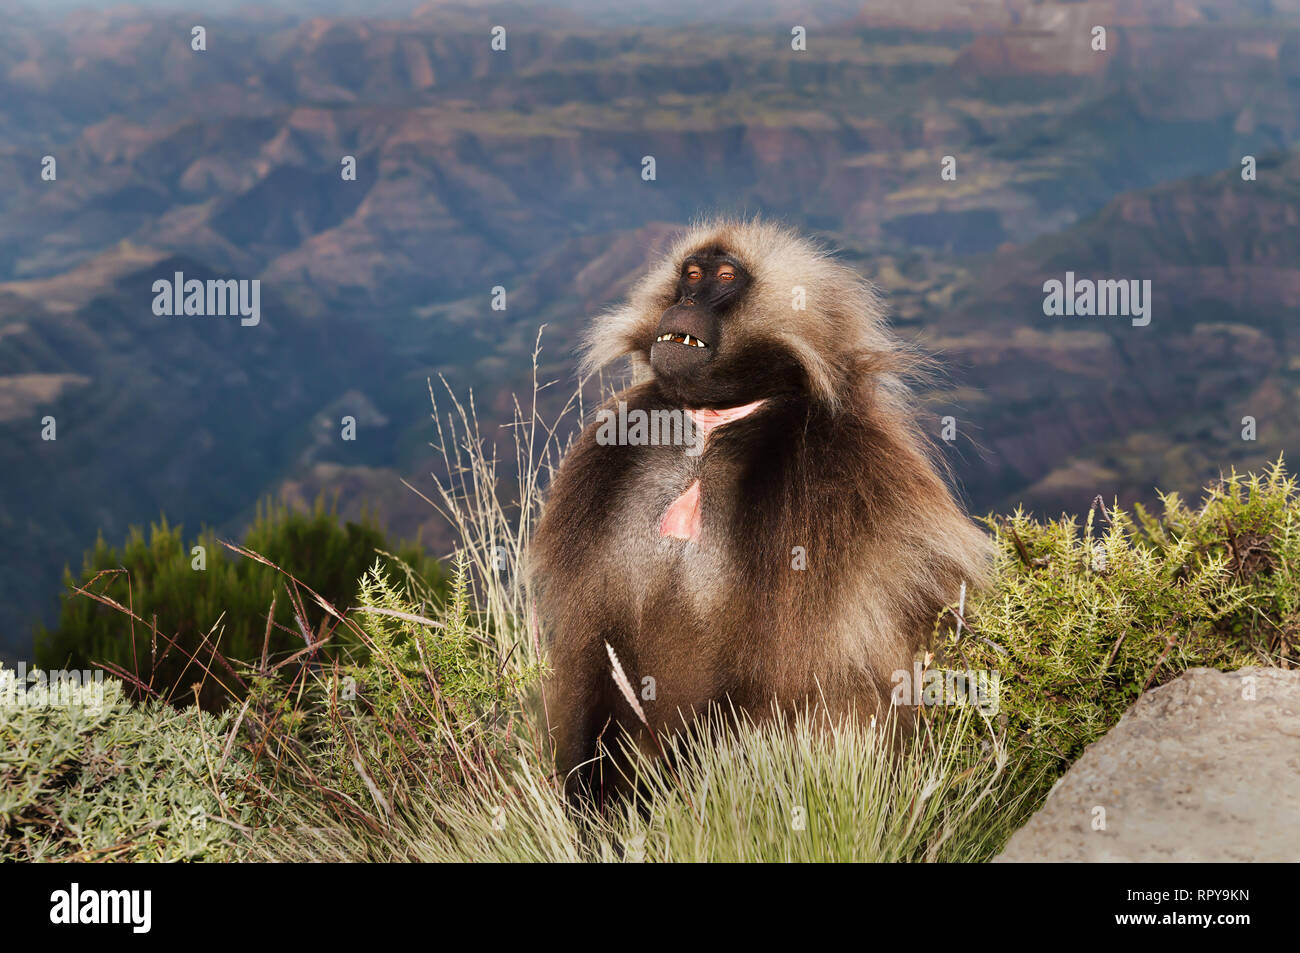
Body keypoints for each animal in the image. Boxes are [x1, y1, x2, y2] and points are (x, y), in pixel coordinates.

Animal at [529, 218, 992, 804]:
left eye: (725, 277)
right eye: (691, 273)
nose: (684, 302)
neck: (712, 423)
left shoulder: (839, 481)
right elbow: (591, 658)